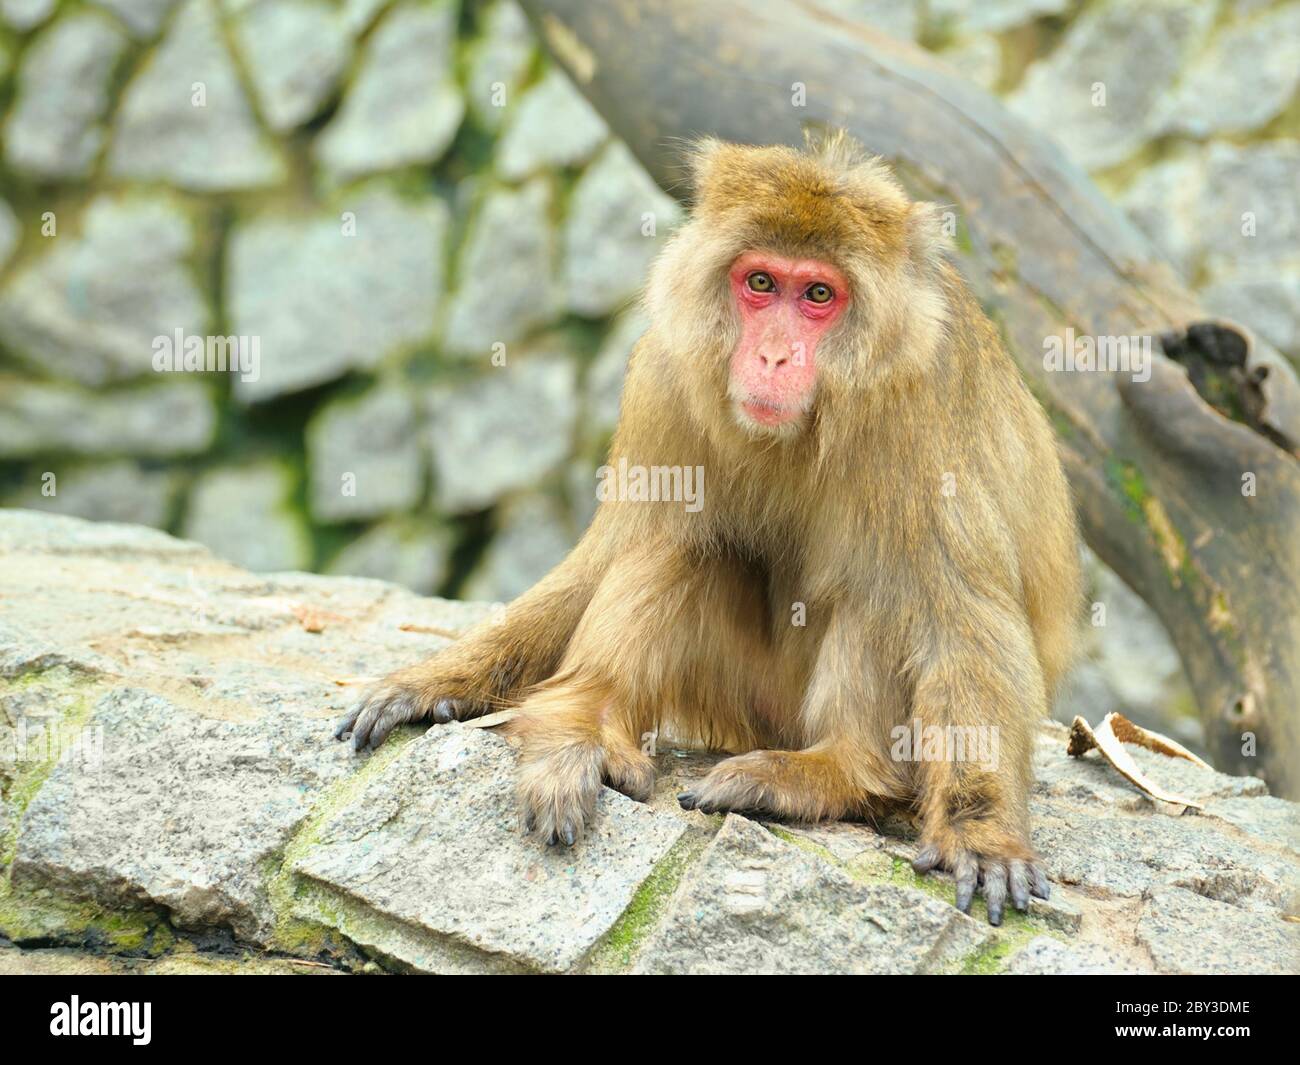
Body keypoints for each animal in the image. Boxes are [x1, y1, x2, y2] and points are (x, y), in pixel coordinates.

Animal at [334, 132, 1082, 926]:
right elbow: (612, 553)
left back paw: (834, 773)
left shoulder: (924, 405)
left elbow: (959, 615)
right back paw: (588, 728)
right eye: (760, 282)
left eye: (818, 295)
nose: (773, 355)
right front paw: (436, 681)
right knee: (679, 543)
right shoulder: (664, 371)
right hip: (743, 697)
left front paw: (982, 830)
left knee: (884, 591)